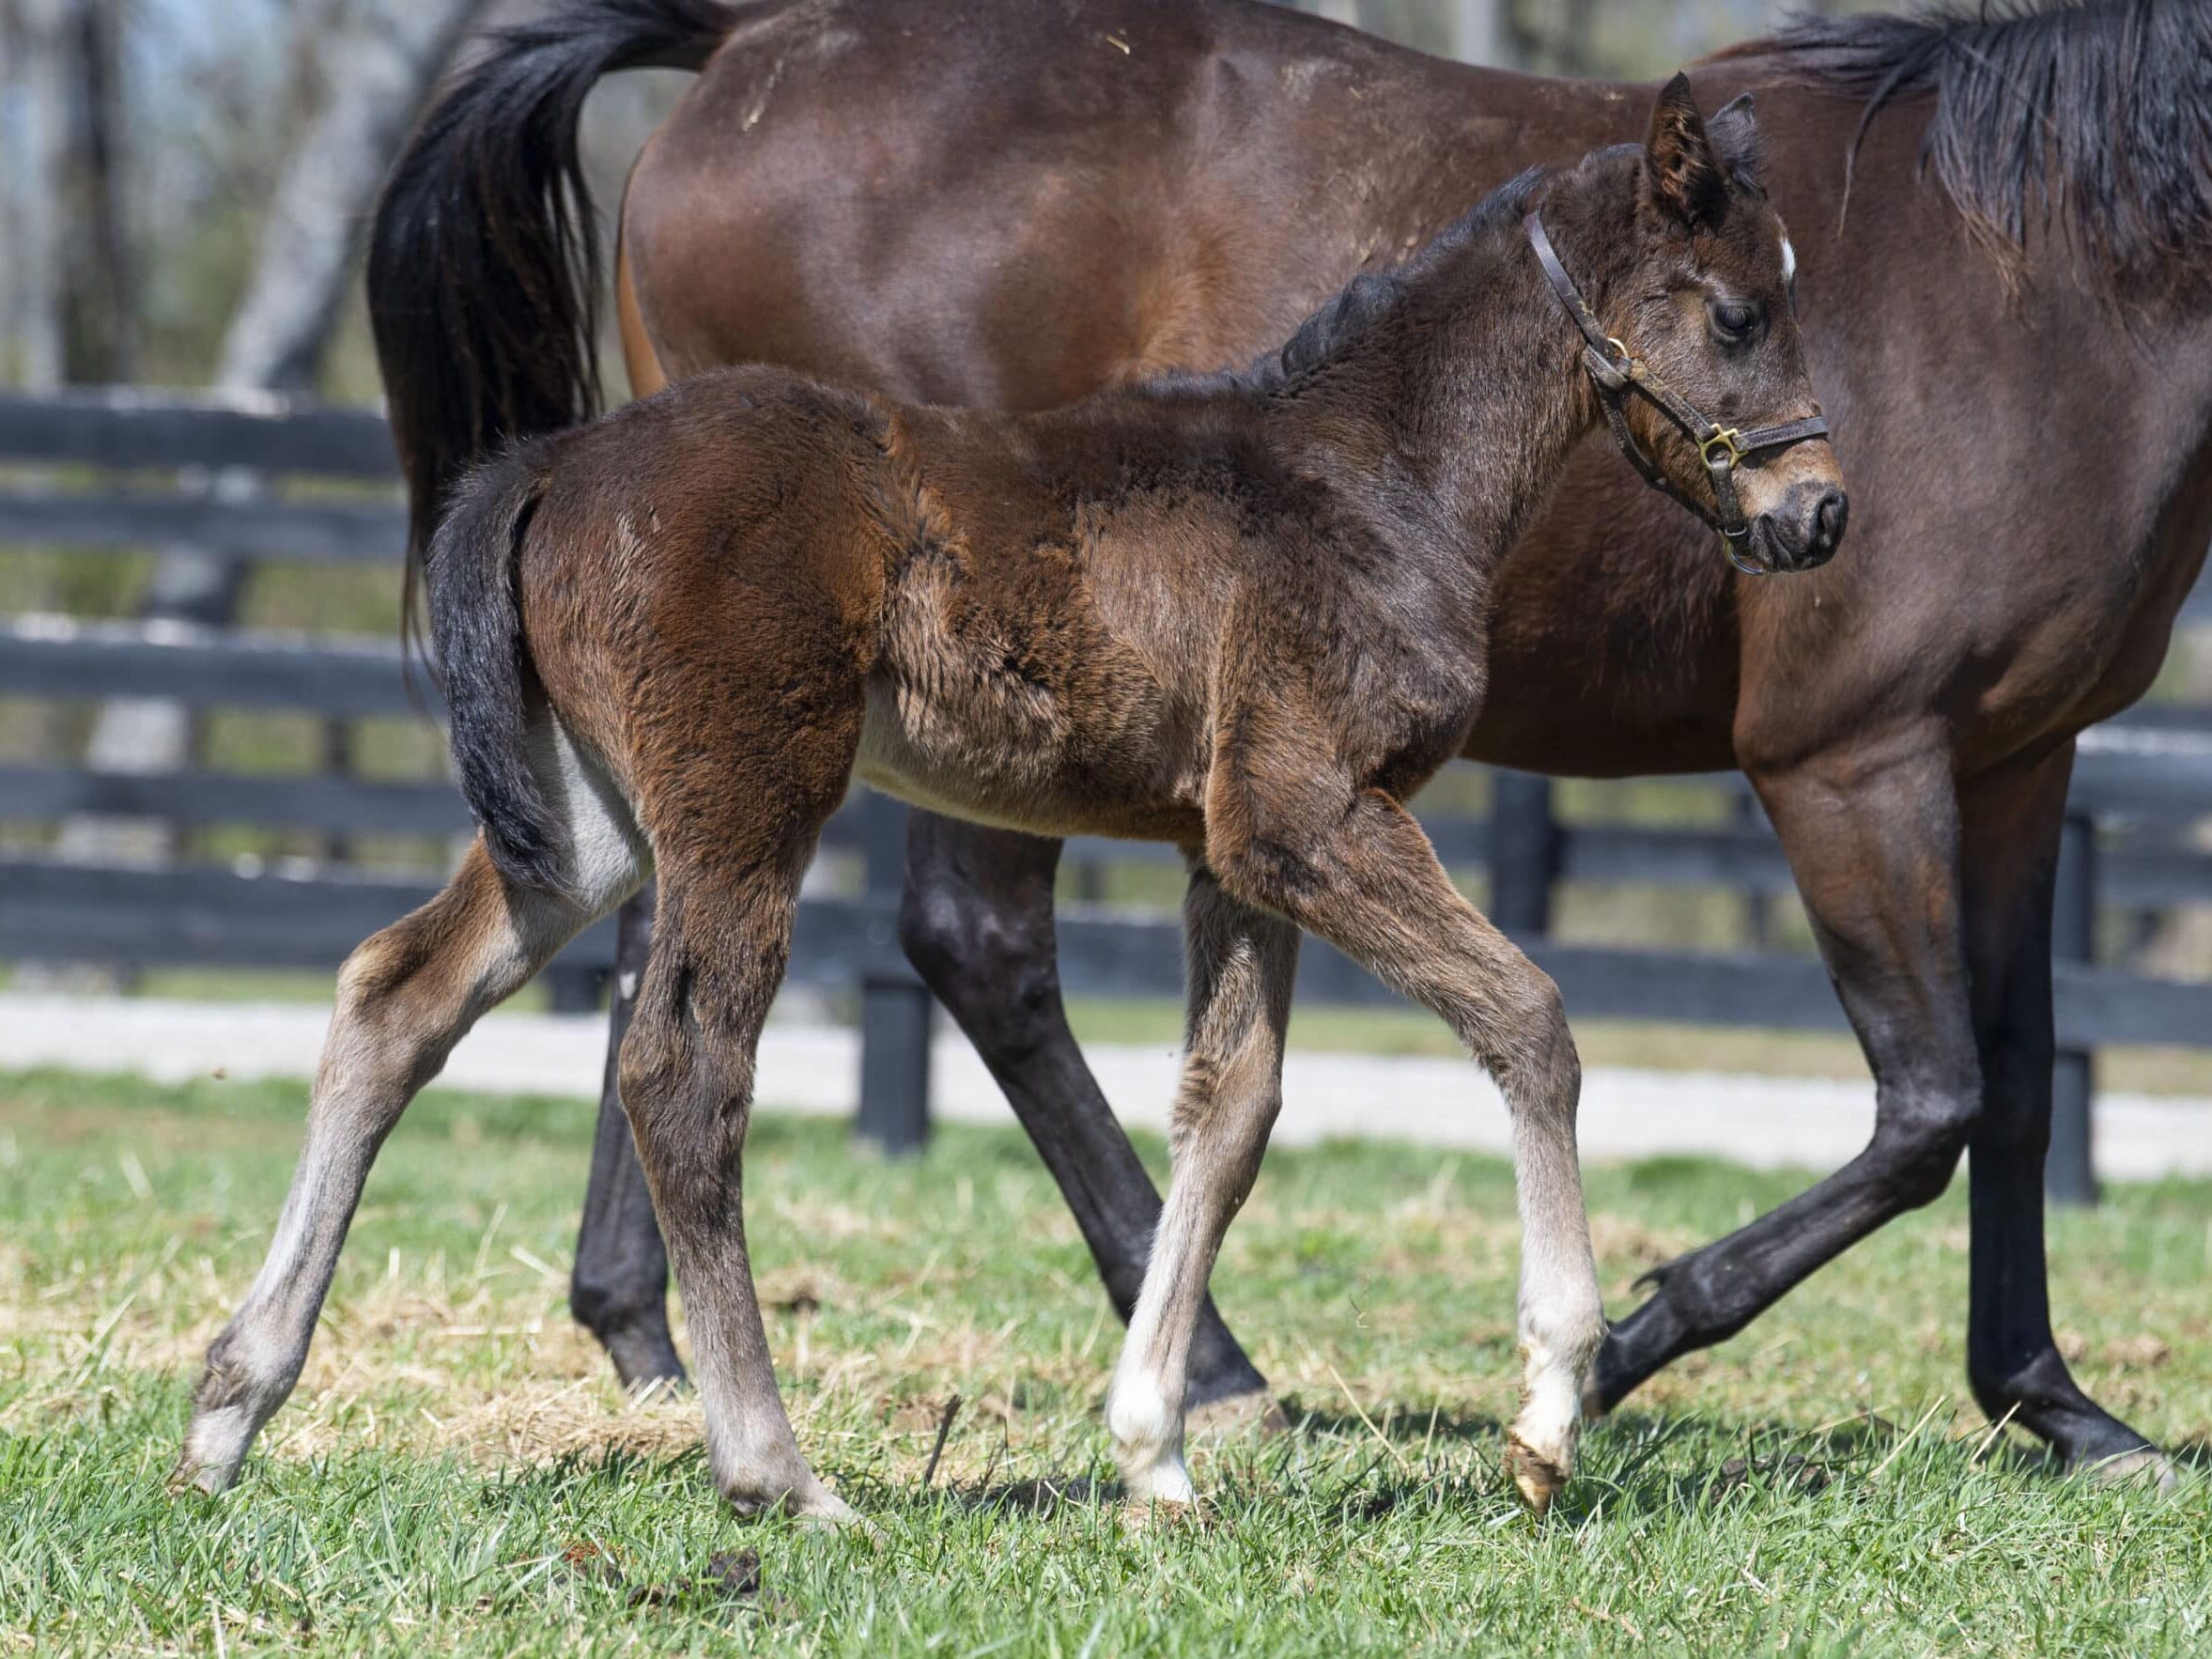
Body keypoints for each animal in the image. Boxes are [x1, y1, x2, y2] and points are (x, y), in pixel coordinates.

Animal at [181, 88, 1837, 1519]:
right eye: (1734, 312)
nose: (1816, 513)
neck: (1374, 475)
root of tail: (555, 461)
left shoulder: (1230, 852)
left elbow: (1229, 1110)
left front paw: (1157, 1453)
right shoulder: (1309, 814)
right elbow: (1527, 1020)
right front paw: (1550, 1410)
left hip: (586, 820)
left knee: (395, 995)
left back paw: (229, 1407)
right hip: (745, 798)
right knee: (681, 1073)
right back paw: (775, 1472)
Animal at [368, 0, 2212, 1479]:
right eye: (1739, 317)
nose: (1821, 517)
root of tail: (745, 37)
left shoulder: (2016, 753)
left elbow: (2018, 1080)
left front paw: (2060, 1407)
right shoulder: (1844, 753)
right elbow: (1909, 1093)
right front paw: (1602, 1359)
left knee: (612, 972)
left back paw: (644, 1334)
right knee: (924, 962)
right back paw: (1175, 1374)